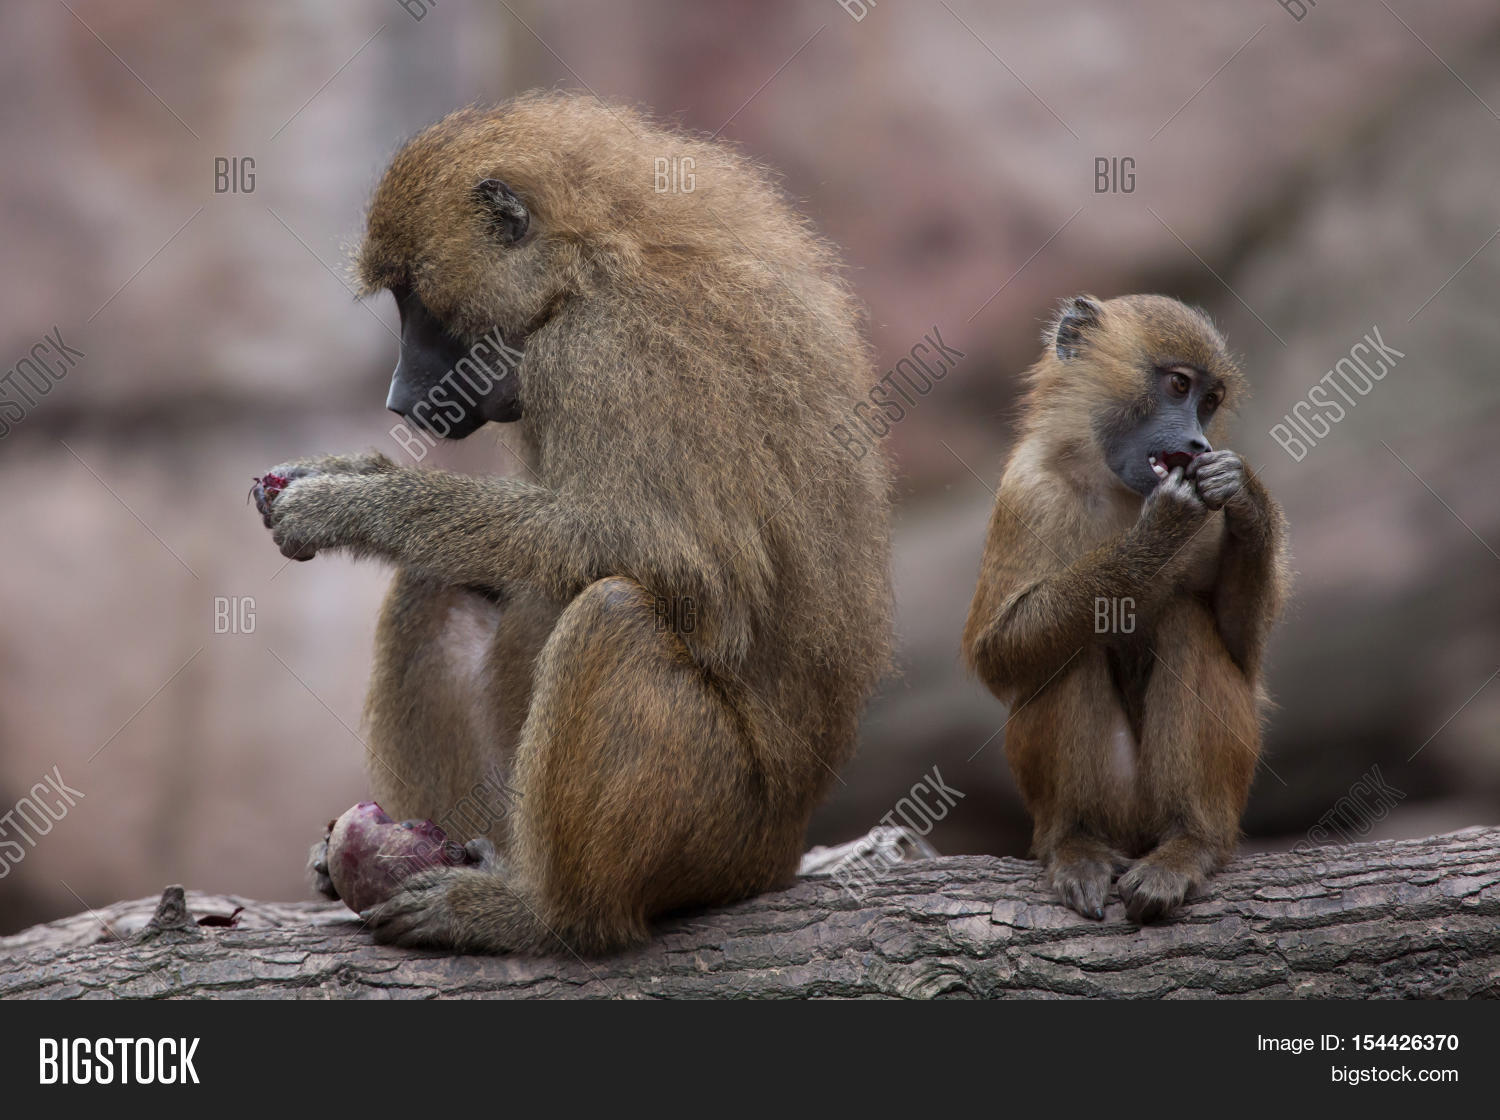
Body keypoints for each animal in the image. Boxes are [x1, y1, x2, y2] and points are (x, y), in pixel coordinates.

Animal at [252, 93, 893, 954]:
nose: (397, 397)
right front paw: (352, 473)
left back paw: (538, 915)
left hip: (723, 826)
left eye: (416, 299)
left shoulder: (601, 354)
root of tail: (784, 845)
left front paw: (355, 505)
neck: (587, 264)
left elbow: (682, 563)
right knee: (435, 584)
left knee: (614, 615)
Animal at [961, 294, 1288, 923]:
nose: (1199, 445)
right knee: (1070, 653)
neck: (1111, 482)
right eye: (1179, 384)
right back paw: (1076, 844)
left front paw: (1246, 495)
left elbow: (1244, 652)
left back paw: (1189, 847)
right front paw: (1160, 532)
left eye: (1210, 402)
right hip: (1109, 799)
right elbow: (997, 653)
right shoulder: (1027, 493)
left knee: (1186, 621)